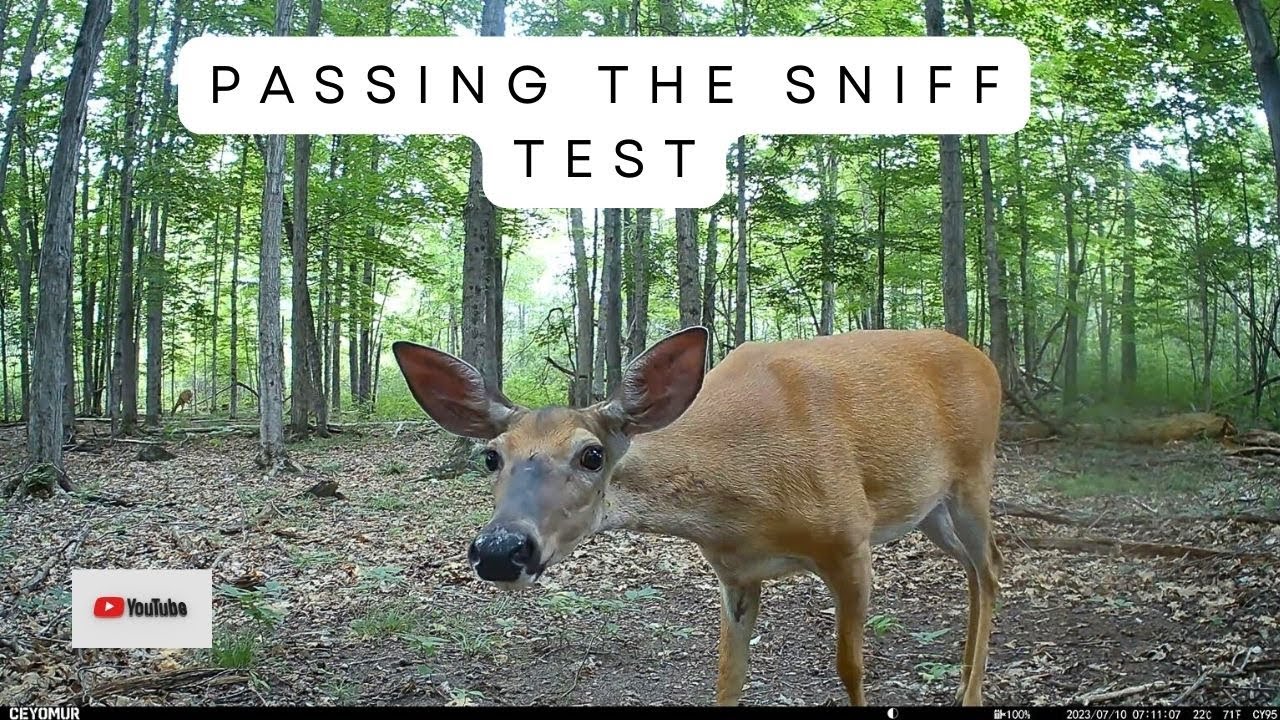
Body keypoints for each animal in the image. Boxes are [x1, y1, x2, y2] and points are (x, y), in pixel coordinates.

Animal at [391, 325, 1004, 706]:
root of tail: (986, 359)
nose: (500, 550)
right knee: (974, 569)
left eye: (591, 455)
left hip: (974, 475)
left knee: (992, 565)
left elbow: (850, 669)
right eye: (491, 456)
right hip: (929, 510)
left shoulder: (850, 542)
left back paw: (972, 692)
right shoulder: (734, 572)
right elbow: (728, 676)